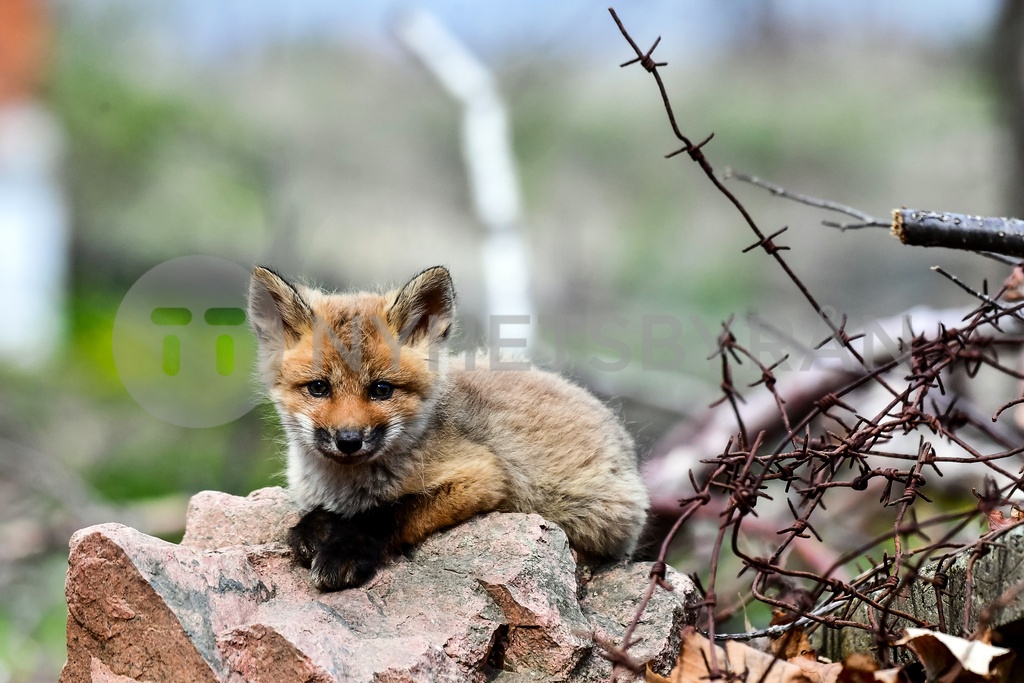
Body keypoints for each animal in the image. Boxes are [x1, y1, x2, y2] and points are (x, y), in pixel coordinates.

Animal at [247, 265, 649, 591]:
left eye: (381, 389)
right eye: (318, 388)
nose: (348, 440)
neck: (347, 485)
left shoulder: (484, 475)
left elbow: (391, 512)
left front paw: (346, 549)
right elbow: (321, 514)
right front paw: (313, 528)